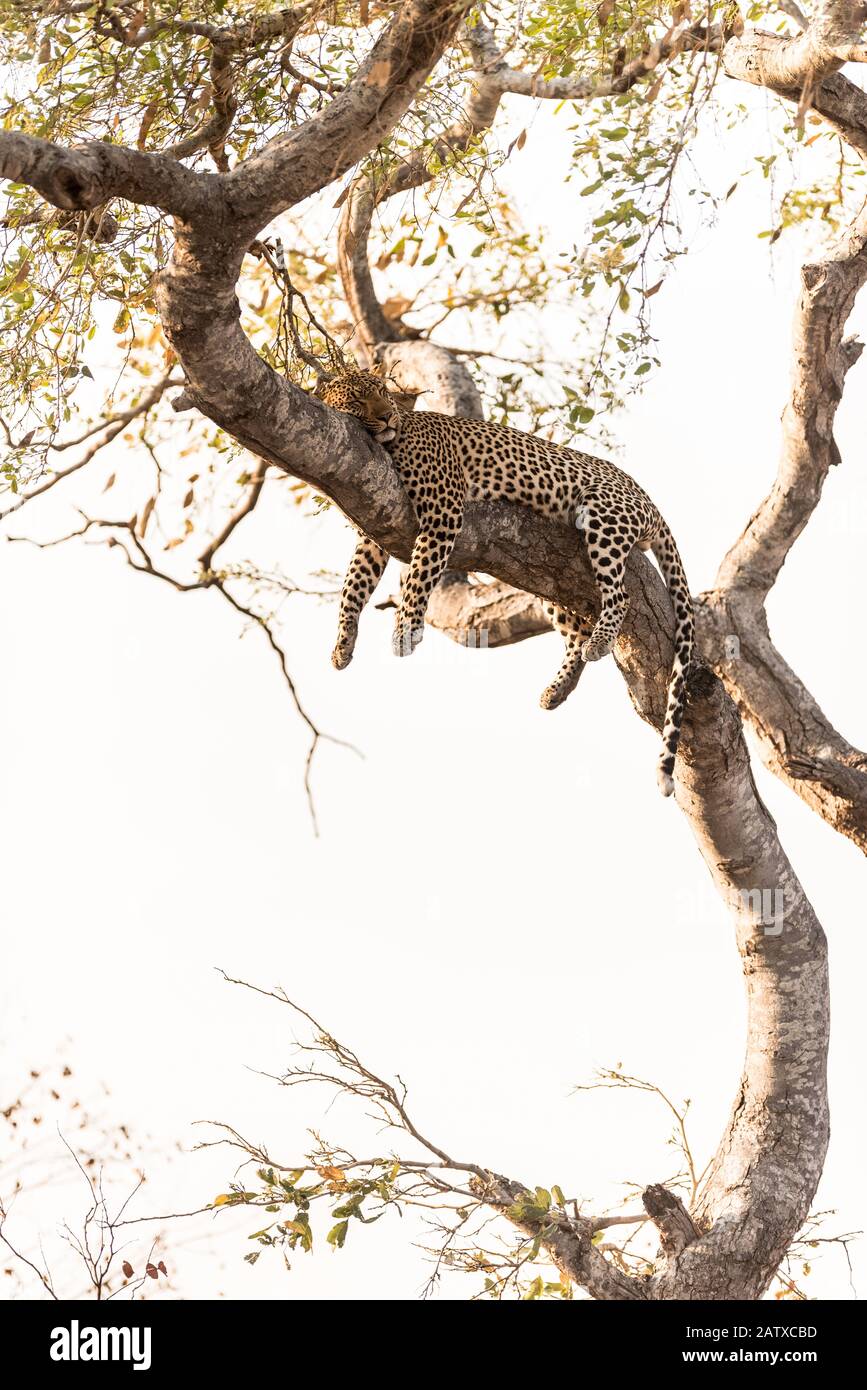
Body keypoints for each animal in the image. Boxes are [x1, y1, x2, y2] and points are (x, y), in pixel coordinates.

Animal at [315, 367, 694, 797]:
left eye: (382, 392)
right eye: (357, 399)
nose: (386, 417)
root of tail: (649, 499)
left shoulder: (443, 513)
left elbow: (420, 576)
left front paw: (405, 630)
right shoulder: (375, 529)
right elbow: (353, 586)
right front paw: (342, 645)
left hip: (604, 513)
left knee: (621, 595)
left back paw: (599, 642)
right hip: (547, 580)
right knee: (575, 632)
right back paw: (556, 690)